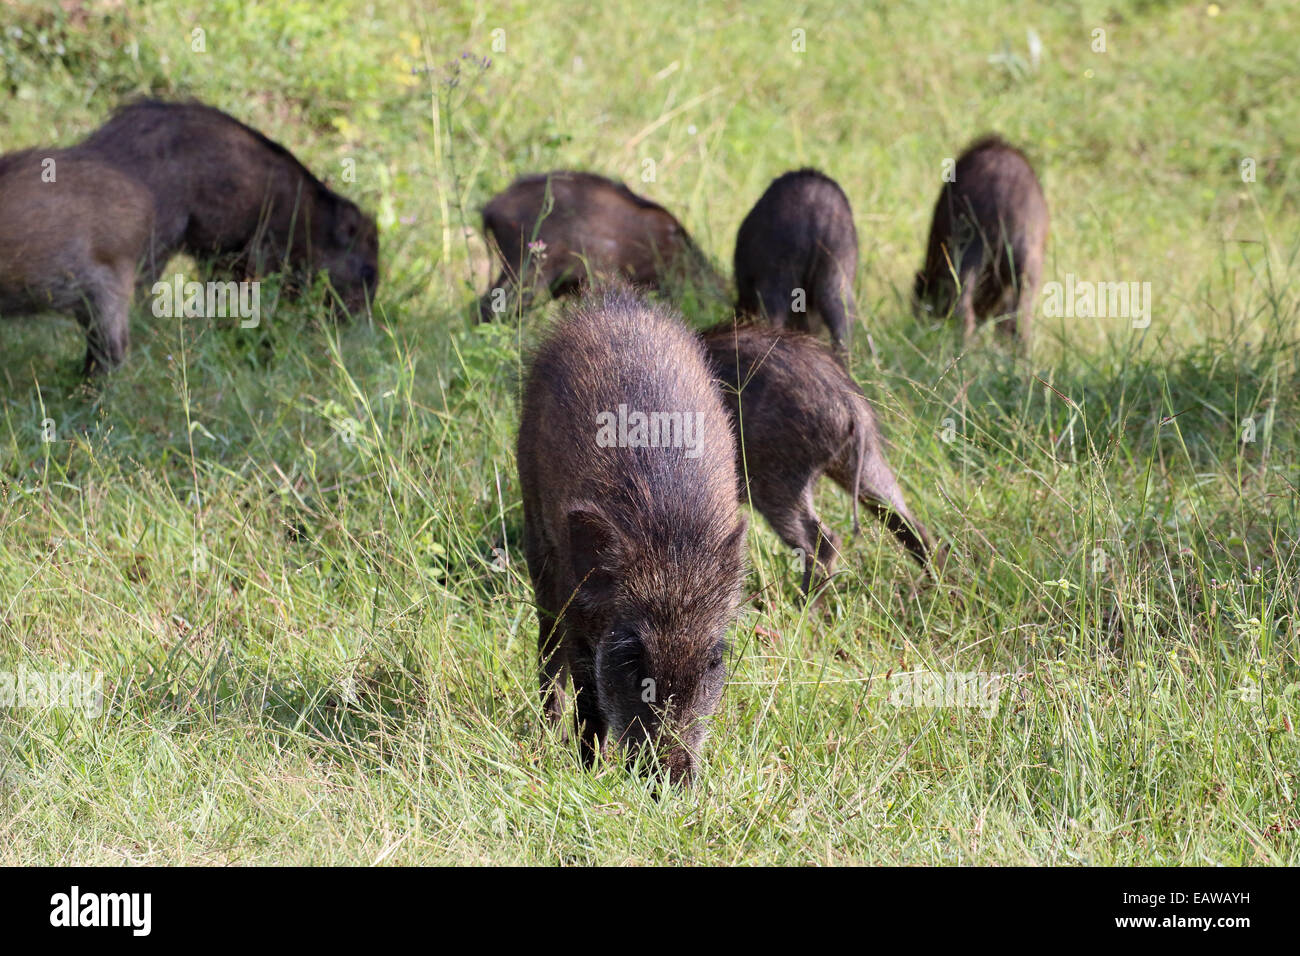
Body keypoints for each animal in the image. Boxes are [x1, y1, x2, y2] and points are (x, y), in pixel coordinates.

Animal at [517, 286, 747, 785]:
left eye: (713, 660)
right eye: (630, 655)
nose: (671, 780)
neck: (669, 535)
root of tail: (613, 303)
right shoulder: (581, 615)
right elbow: (588, 703)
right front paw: (586, 773)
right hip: (536, 536)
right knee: (547, 650)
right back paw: (544, 738)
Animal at [702, 322, 942, 598]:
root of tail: (848, 402)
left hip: (778, 484)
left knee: (823, 545)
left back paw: (802, 605)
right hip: (864, 466)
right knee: (910, 524)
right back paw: (940, 589)